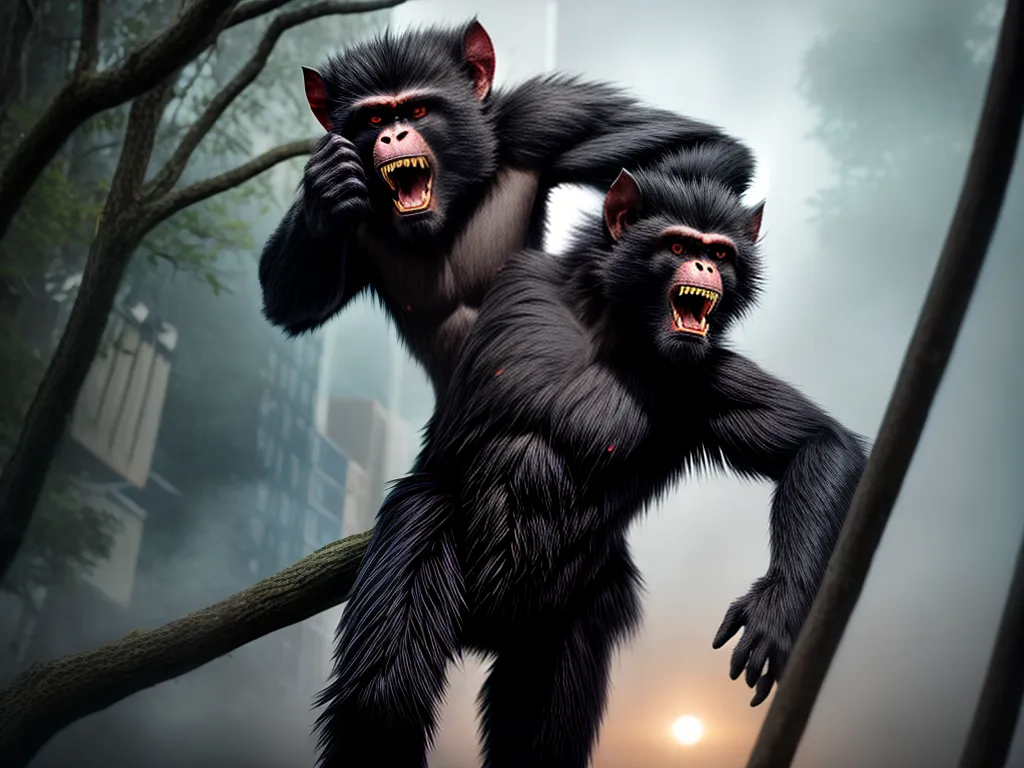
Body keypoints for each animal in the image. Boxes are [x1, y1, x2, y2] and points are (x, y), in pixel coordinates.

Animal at [258, 19, 755, 399]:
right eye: (374, 118)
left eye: (418, 110)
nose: (393, 135)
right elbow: (291, 303)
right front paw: (326, 186)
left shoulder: (542, 115)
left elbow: (704, 146)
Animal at [312, 143, 869, 768]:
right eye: (679, 247)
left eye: (721, 252)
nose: (707, 269)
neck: (608, 321)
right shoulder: (516, 281)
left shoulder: (709, 375)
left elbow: (816, 443)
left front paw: (775, 607)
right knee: (387, 690)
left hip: (574, 605)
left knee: (546, 733)